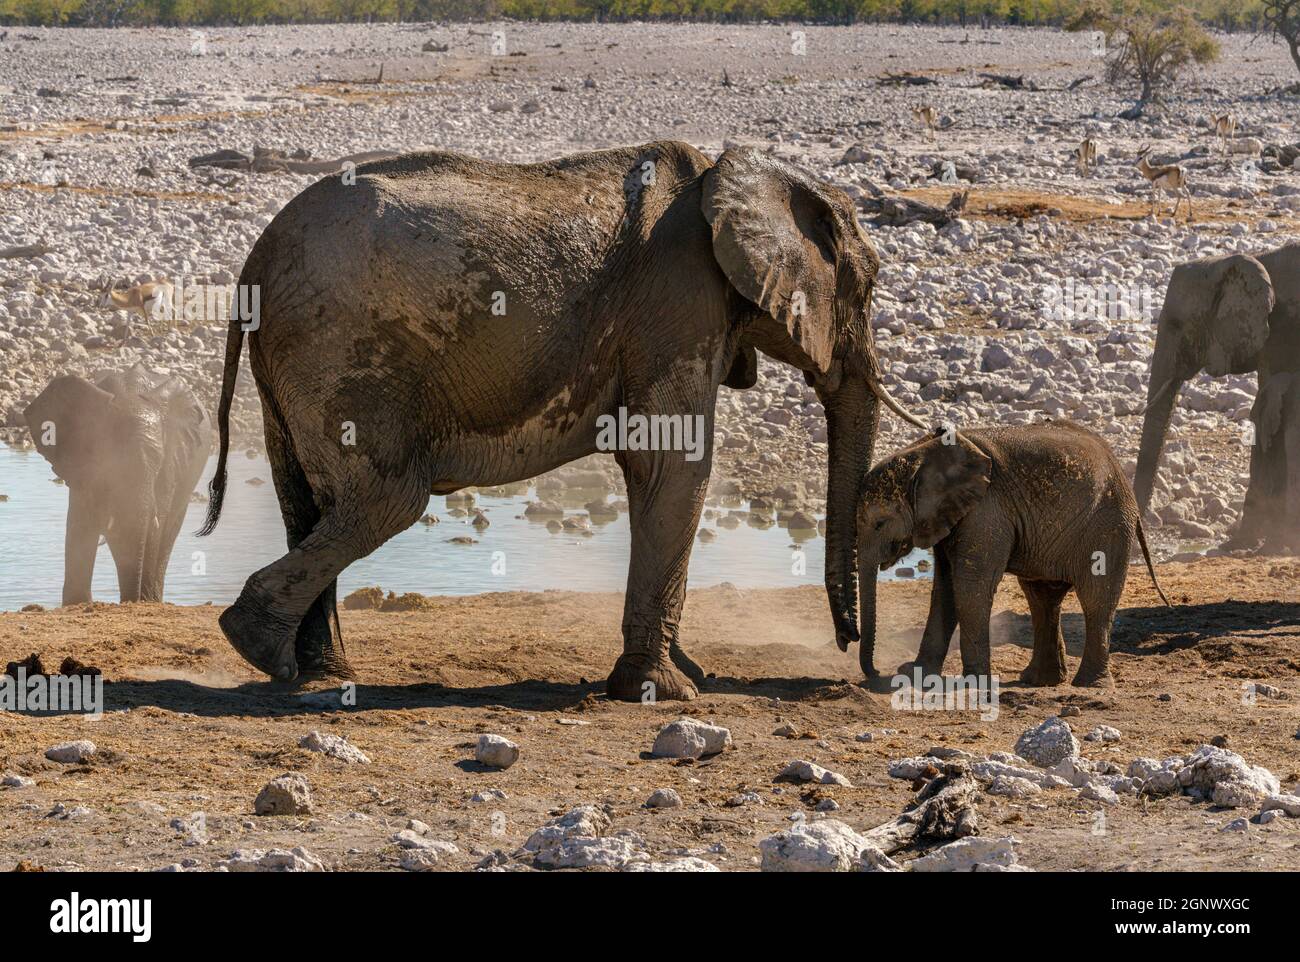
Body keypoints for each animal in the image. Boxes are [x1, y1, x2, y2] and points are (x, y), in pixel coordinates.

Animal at [23, 363, 212, 605]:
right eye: (106, 462)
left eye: (158, 462)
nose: (132, 602)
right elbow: (80, 522)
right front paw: (76, 604)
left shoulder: (171, 464)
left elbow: (154, 527)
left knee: (167, 533)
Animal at [199, 141, 923, 698]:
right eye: (870, 286)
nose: (852, 651)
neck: (737, 175)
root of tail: (254, 261)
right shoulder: (678, 304)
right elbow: (675, 467)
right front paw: (666, 692)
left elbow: (657, 472)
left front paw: (687, 676)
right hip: (340, 350)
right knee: (388, 498)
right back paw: (258, 645)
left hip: (291, 359)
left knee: (308, 500)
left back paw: (315, 673)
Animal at [855, 422, 1168, 688]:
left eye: (880, 523)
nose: (877, 672)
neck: (922, 452)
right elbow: (944, 588)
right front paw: (913, 674)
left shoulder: (986, 510)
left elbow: (970, 586)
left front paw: (972, 683)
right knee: (1042, 599)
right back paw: (1040, 680)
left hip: (1107, 527)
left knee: (1096, 600)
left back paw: (1090, 685)